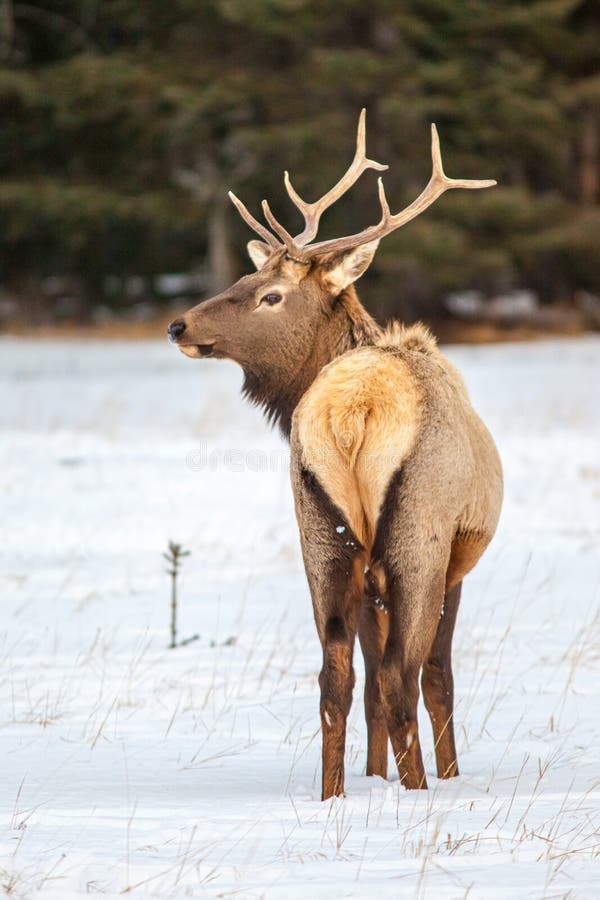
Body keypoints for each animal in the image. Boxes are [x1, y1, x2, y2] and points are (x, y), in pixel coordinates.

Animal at [168, 111, 503, 800]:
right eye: (247, 280)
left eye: (266, 292)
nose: (178, 325)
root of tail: (354, 412)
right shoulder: (456, 558)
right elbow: (437, 678)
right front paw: (445, 775)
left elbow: (365, 683)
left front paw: (372, 774)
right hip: (416, 535)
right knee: (403, 676)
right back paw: (418, 792)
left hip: (319, 530)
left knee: (336, 677)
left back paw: (334, 795)